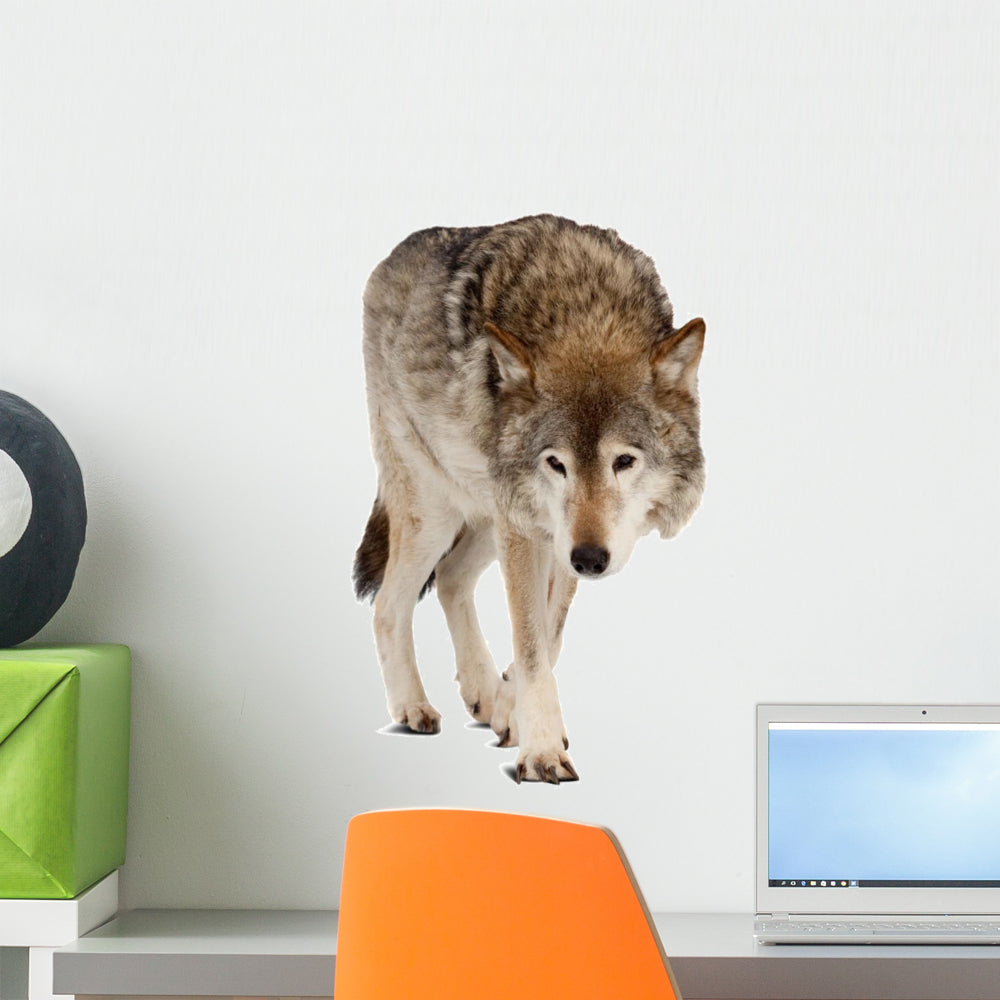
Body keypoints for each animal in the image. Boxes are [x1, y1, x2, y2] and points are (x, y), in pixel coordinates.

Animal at [353, 215, 705, 783]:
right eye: (556, 464)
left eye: (624, 461)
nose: (591, 559)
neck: (586, 314)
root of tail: (392, 257)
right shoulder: (534, 531)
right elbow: (533, 640)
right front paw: (540, 751)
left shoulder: (554, 538)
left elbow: (548, 635)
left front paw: (510, 713)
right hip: (439, 511)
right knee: (388, 603)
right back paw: (412, 706)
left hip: (487, 514)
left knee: (450, 579)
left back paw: (482, 693)